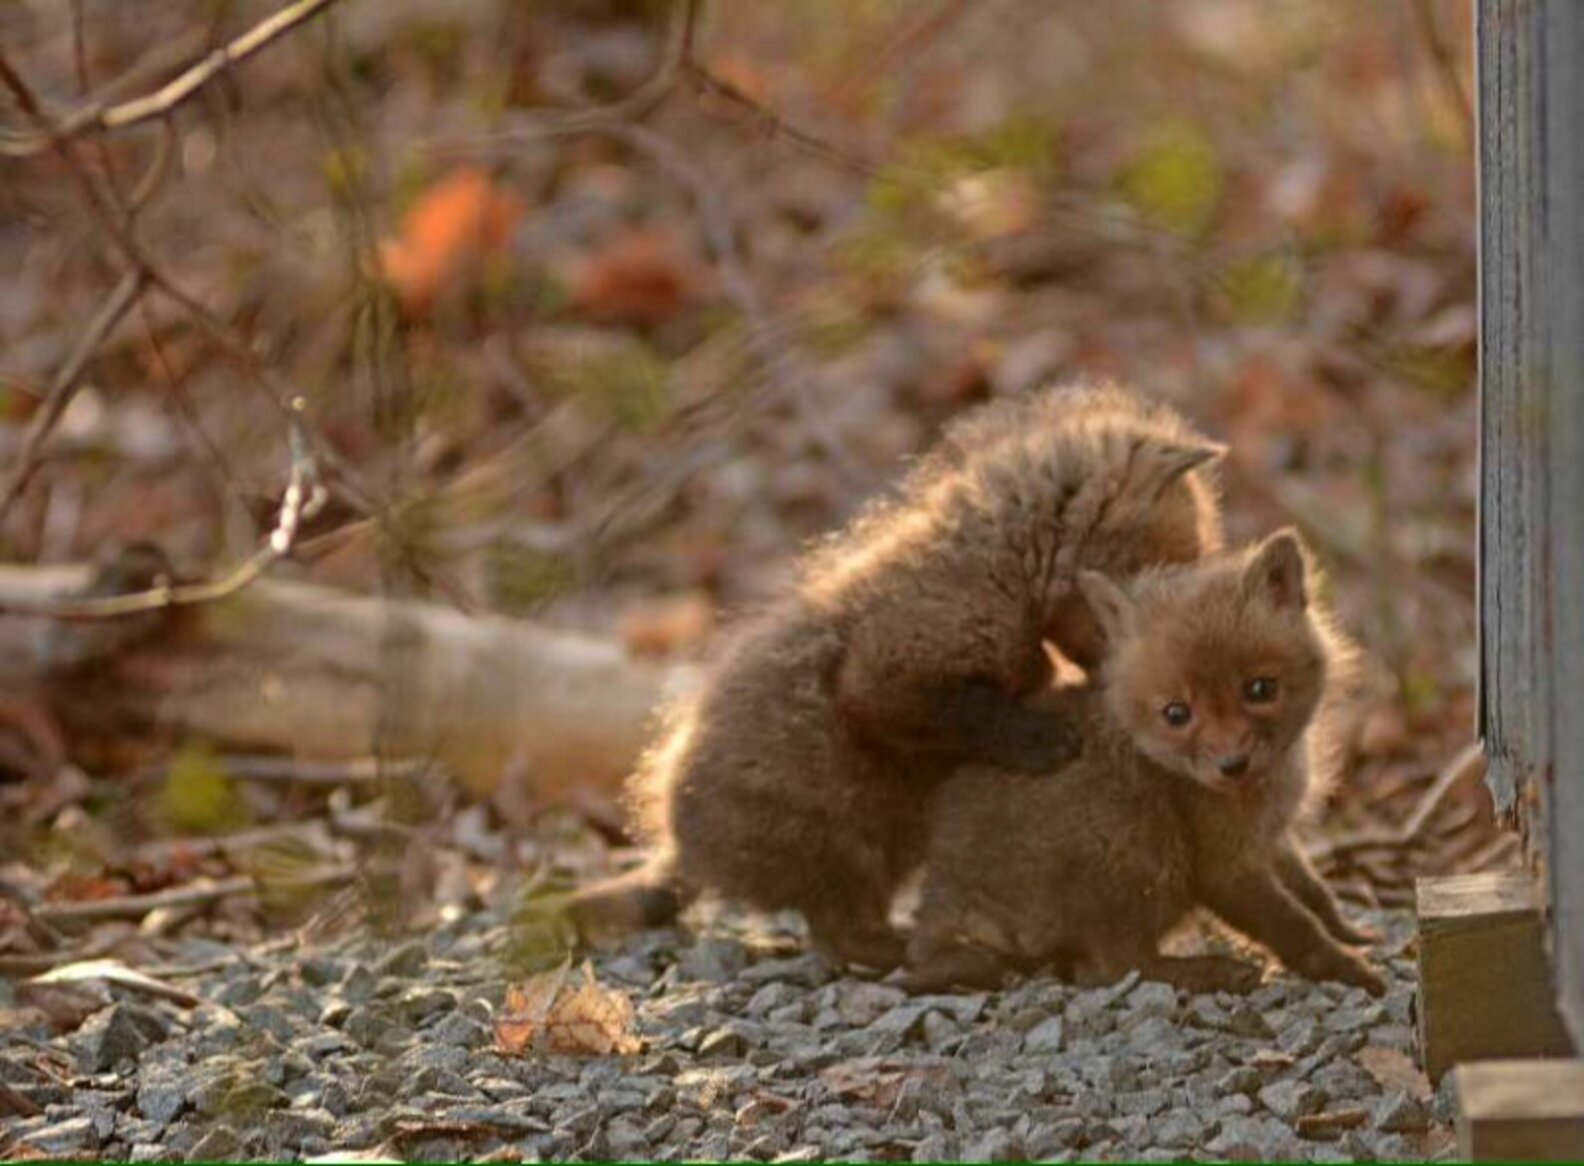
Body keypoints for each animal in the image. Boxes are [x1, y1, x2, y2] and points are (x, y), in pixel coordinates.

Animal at [569, 382, 1226, 969]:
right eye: (1165, 570)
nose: (1157, 686)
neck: (1006, 568)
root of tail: (680, 845)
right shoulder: (883, 673)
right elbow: (964, 711)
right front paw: (1042, 739)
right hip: (838, 831)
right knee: (831, 925)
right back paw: (889, 953)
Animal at [903, 529, 1386, 996]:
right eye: (1176, 714)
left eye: (1261, 689)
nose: (1233, 765)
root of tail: (940, 893)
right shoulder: (1223, 867)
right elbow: (1291, 925)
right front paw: (1346, 968)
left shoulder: (1271, 838)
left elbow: (1313, 891)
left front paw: (1351, 932)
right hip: (1135, 844)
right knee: (1116, 967)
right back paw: (1213, 972)